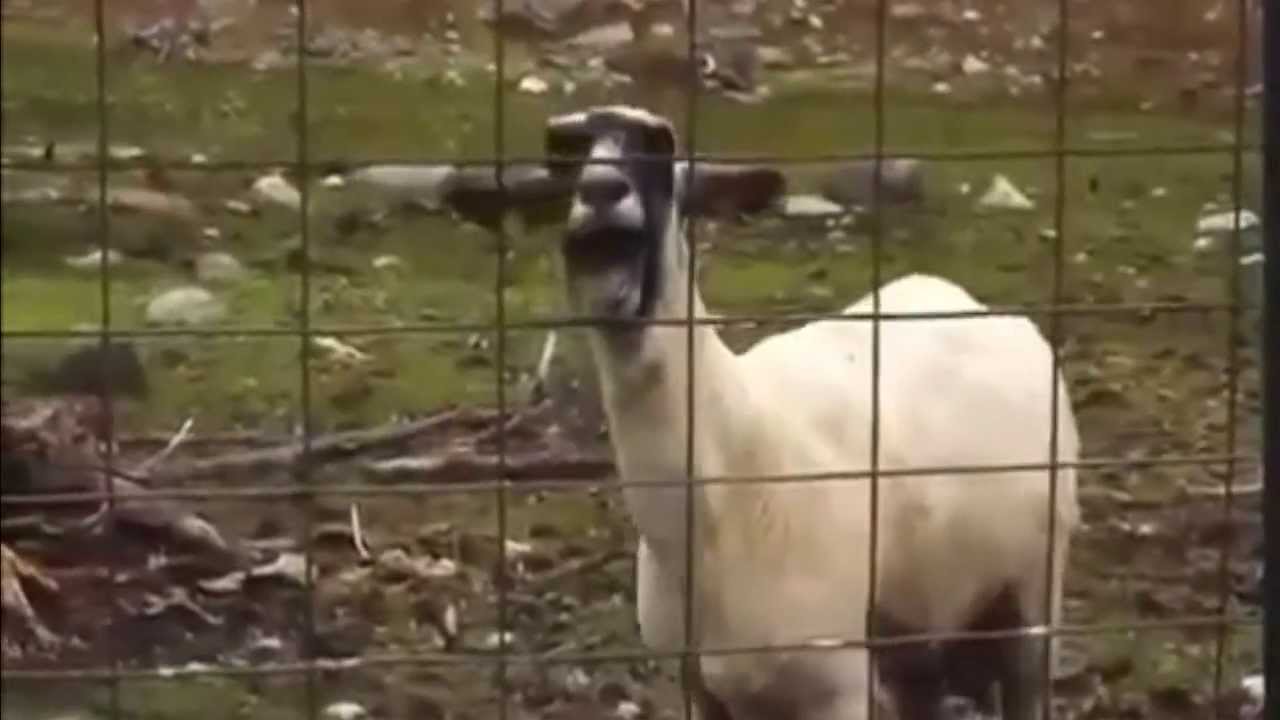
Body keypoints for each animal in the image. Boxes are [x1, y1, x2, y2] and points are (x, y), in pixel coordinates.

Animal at [546, 105, 1080, 720]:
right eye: (564, 151)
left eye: (658, 146)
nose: (601, 190)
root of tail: (970, 301)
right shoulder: (696, 685)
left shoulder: (837, 686)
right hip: (922, 620)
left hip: (1034, 596)